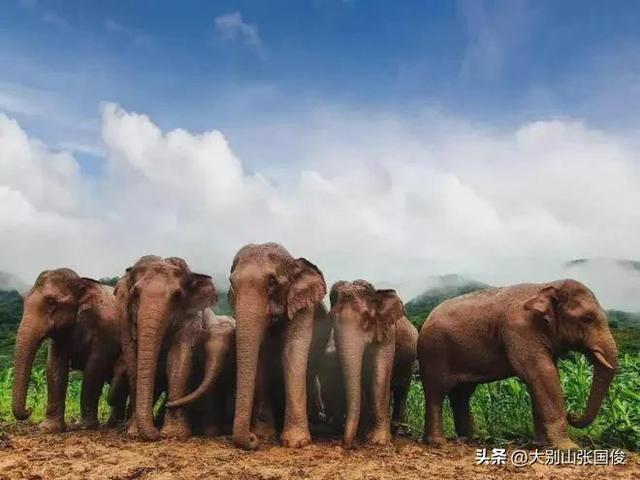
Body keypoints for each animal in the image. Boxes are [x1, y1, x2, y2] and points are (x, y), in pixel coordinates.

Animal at [12, 268, 126, 432]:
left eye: (52, 303)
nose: (30, 408)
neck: (81, 281)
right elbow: (55, 367)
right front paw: (49, 428)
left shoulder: (105, 331)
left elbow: (94, 369)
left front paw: (83, 426)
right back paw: (113, 424)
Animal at [114, 255, 218, 440]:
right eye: (135, 293)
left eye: (177, 295)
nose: (155, 432)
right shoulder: (124, 318)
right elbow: (133, 360)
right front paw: (134, 433)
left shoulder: (191, 320)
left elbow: (178, 360)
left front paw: (173, 434)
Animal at [229, 243, 330, 450]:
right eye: (232, 284)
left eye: (272, 282)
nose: (252, 438)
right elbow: (260, 356)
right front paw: (264, 436)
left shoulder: (303, 307)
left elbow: (292, 352)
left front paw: (296, 442)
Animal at [329, 280, 406, 448]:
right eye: (330, 317)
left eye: (365, 317)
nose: (346, 445)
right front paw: (364, 436)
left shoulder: (388, 332)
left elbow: (380, 376)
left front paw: (379, 441)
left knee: (401, 391)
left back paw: (398, 431)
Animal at [417, 279, 619, 449]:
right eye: (587, 318)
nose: (572, 414)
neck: (545, 286)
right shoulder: (519, 331)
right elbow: (542, 374)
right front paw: (569, 448)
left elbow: (544, 377)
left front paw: (540, 445)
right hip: (434, 353)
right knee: (437, 392)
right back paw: (438, 443)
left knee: (461, 395)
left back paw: (470, 439)